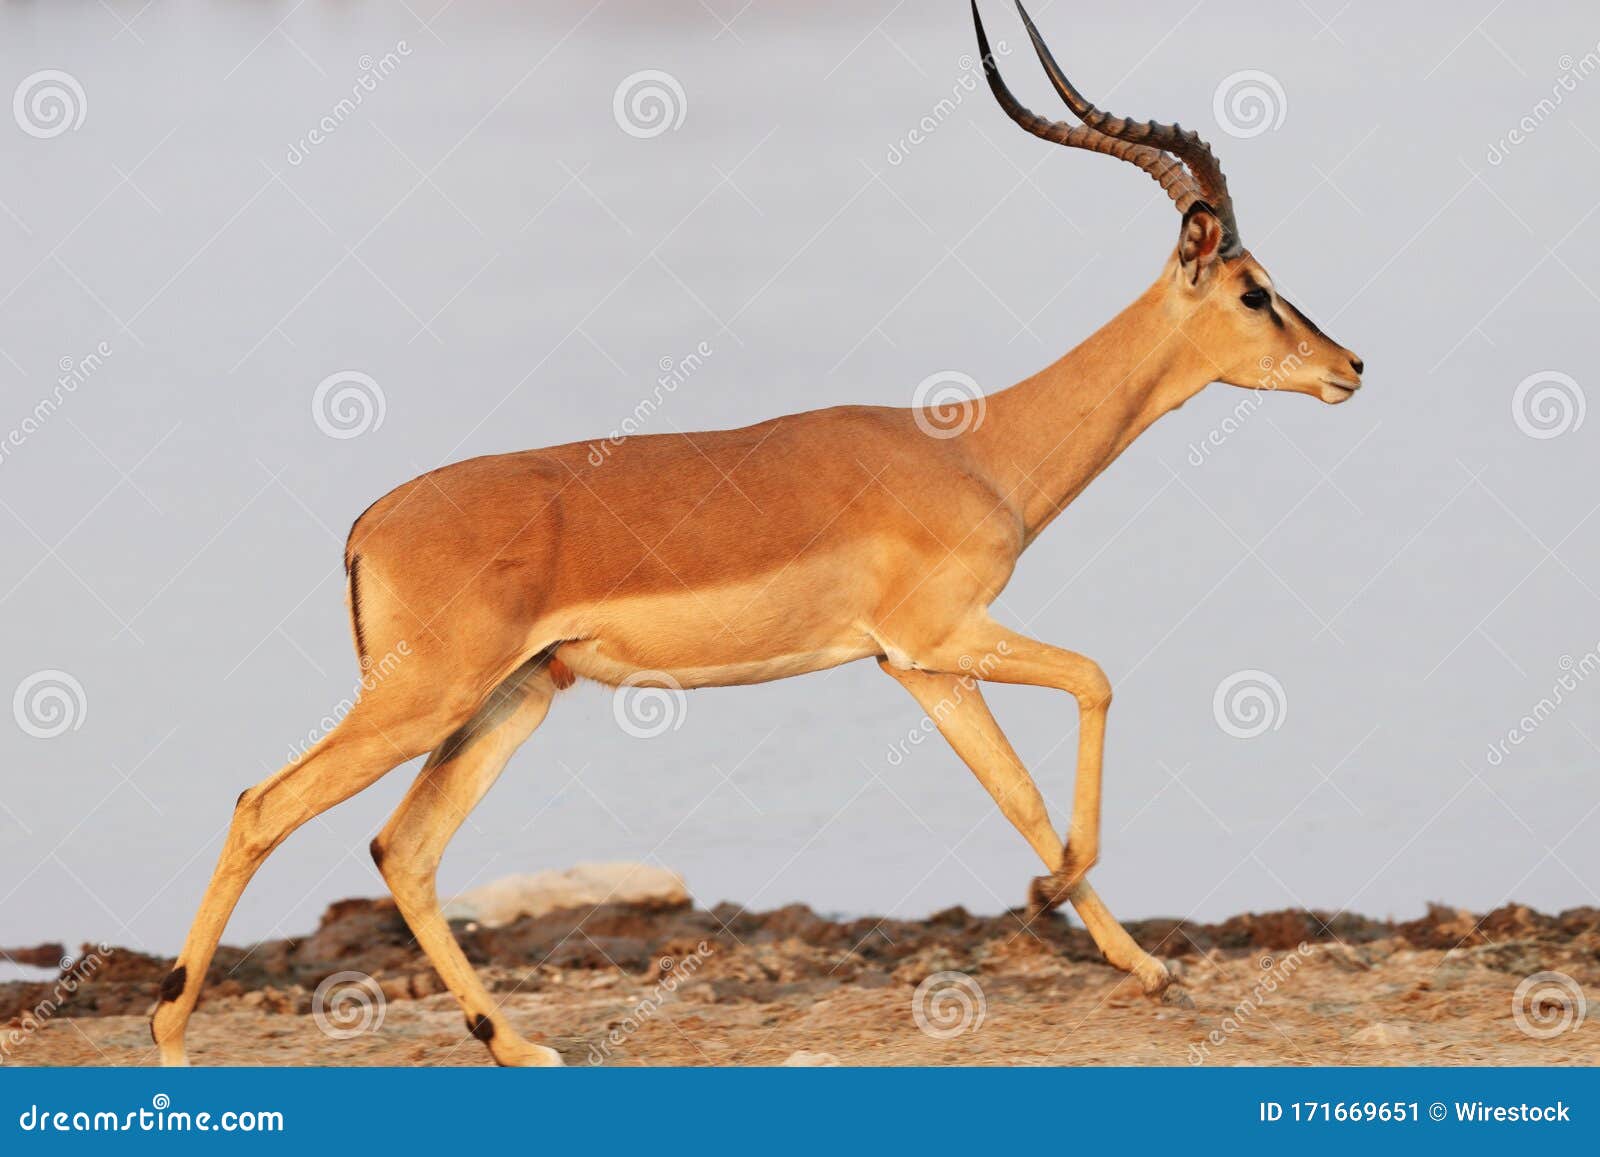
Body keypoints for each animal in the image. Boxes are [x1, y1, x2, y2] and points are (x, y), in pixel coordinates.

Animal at [152, 2, 1363, 1066]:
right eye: (1255, 291)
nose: (1349, 365)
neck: (979, 448)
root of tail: (369, 520)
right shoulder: (945, 633)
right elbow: (1097, 679)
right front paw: (1066, 901)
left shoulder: (916, 666)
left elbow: (1013, 791)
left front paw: (1135, 959)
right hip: (426, 696)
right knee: (266, 804)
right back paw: (169, 1031)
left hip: (515, 694)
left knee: (403, 844)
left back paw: (520, 1042)